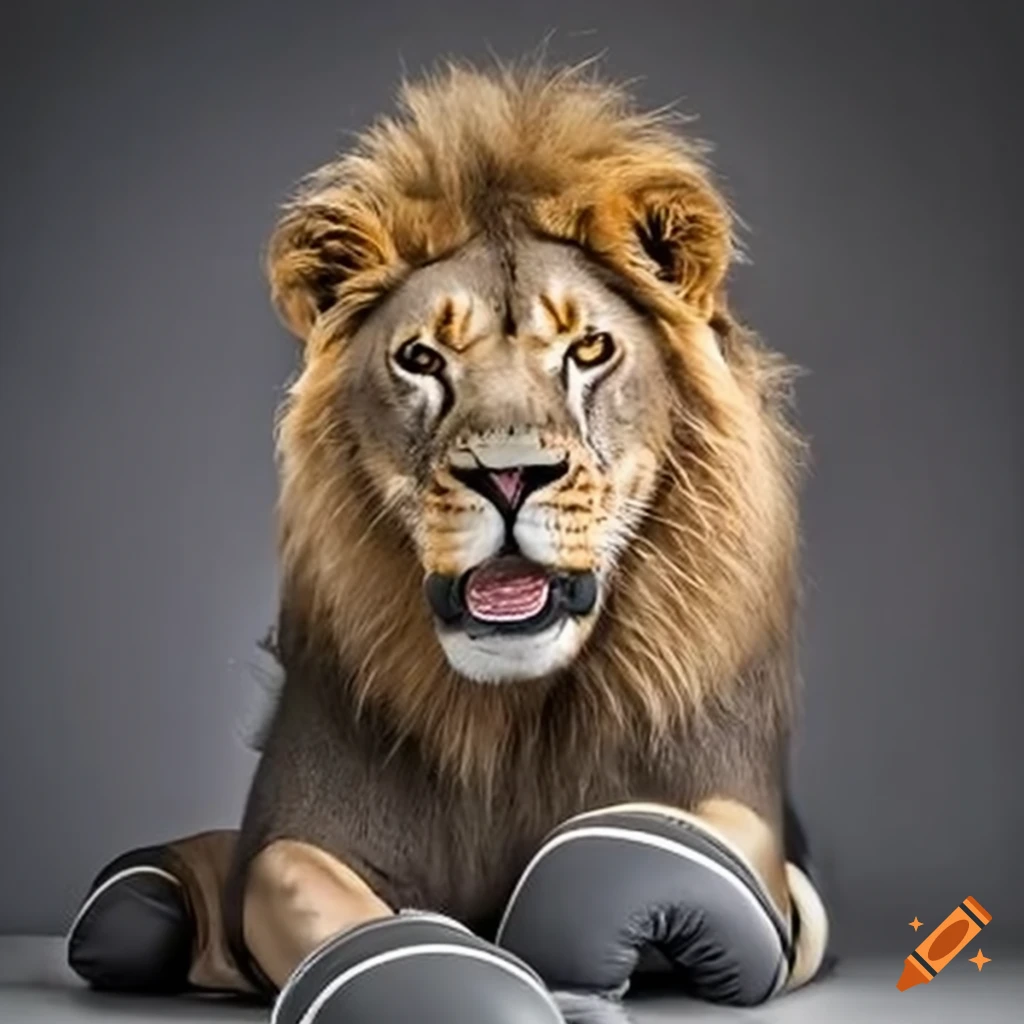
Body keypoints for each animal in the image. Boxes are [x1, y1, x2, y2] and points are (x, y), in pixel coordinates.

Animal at [66, 58, 829, 1021]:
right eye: (422, 359)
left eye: (589, 350)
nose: (509, 477)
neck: (516, 715)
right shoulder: (309, 811)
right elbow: (289, 876)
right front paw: (452, 980)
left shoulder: (739, 800)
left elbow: (685, 848)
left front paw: (581, 926)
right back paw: (139, 894)